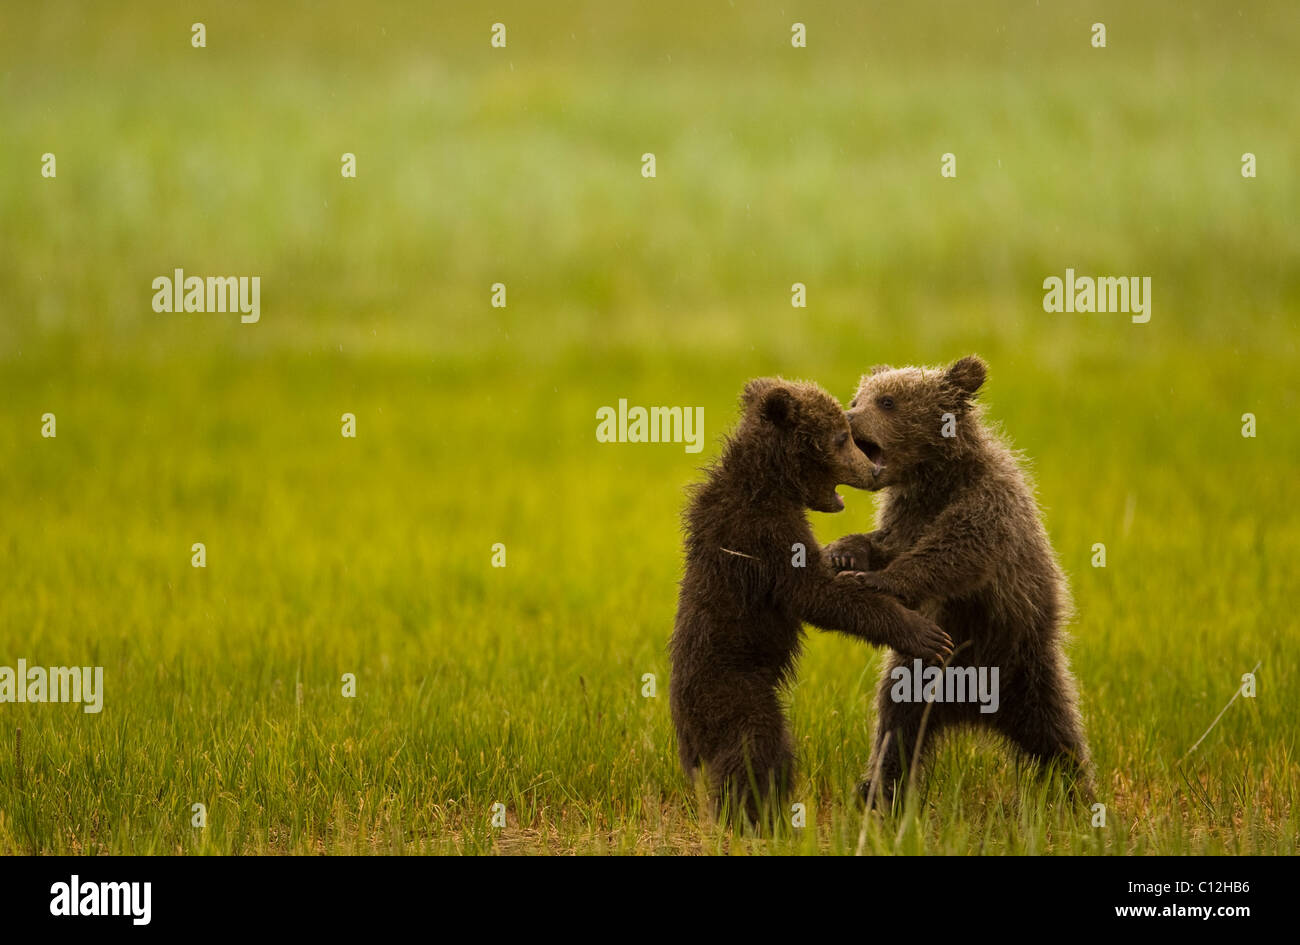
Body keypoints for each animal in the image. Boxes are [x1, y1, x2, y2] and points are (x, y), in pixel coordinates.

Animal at [669, 377, 954, 827]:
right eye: (841, 437)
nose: (873, 470)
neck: (770, 483)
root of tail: (685, 736)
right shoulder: (765, 534)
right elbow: (816, 594)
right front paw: (923, 633)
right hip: (732, 689)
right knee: (755, 747)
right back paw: (755, 817)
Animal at [825, 355, 1094, 807]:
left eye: (887, 401)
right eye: (858, 398)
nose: (848, 416)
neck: (936, 477)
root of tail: (974, 707)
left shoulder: (987, 504)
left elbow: (951, 554)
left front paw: (878, 579)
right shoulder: (906, 514)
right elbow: (887, 542)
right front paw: (842, 551)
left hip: (1025, 669)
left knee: (1058, 738)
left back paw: (1078, 792)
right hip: (919, 677)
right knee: (896, 727)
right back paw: (877, 790)